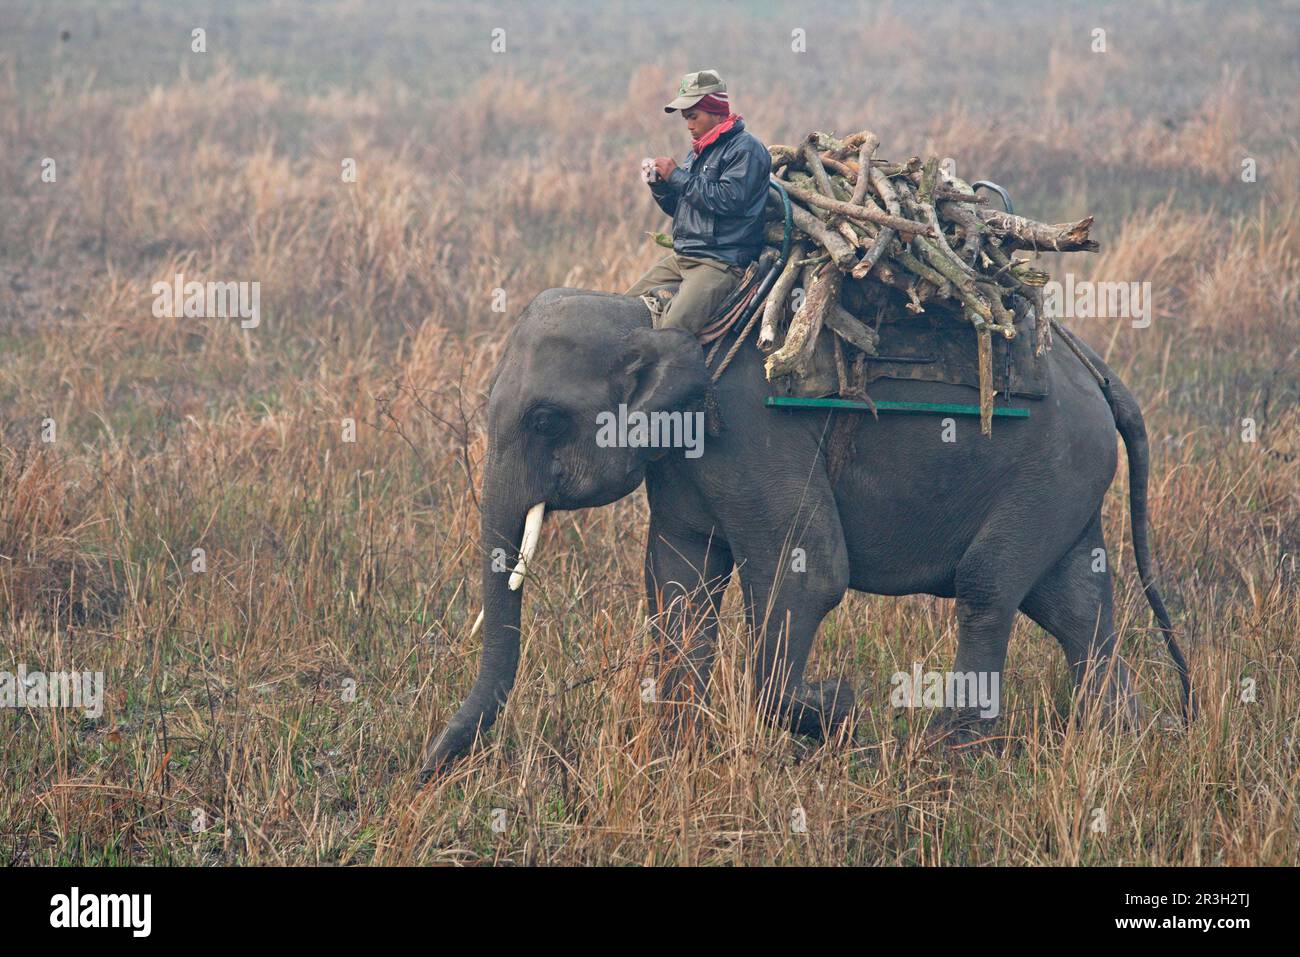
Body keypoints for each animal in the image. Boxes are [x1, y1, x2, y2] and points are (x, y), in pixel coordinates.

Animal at [419, 286, 1193, 780]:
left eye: (546, 419)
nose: (420, 769)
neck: (662, 317)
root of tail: (1099, 371)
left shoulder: (753, 434)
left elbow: (807, 573)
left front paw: (835, 713)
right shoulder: (681, 460)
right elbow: (678, 583)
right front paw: (678, 753)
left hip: (1049, 469)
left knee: (988, 590)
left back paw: (947, 759)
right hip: (1065, 484)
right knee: (1076, 605)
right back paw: (1129, 744)